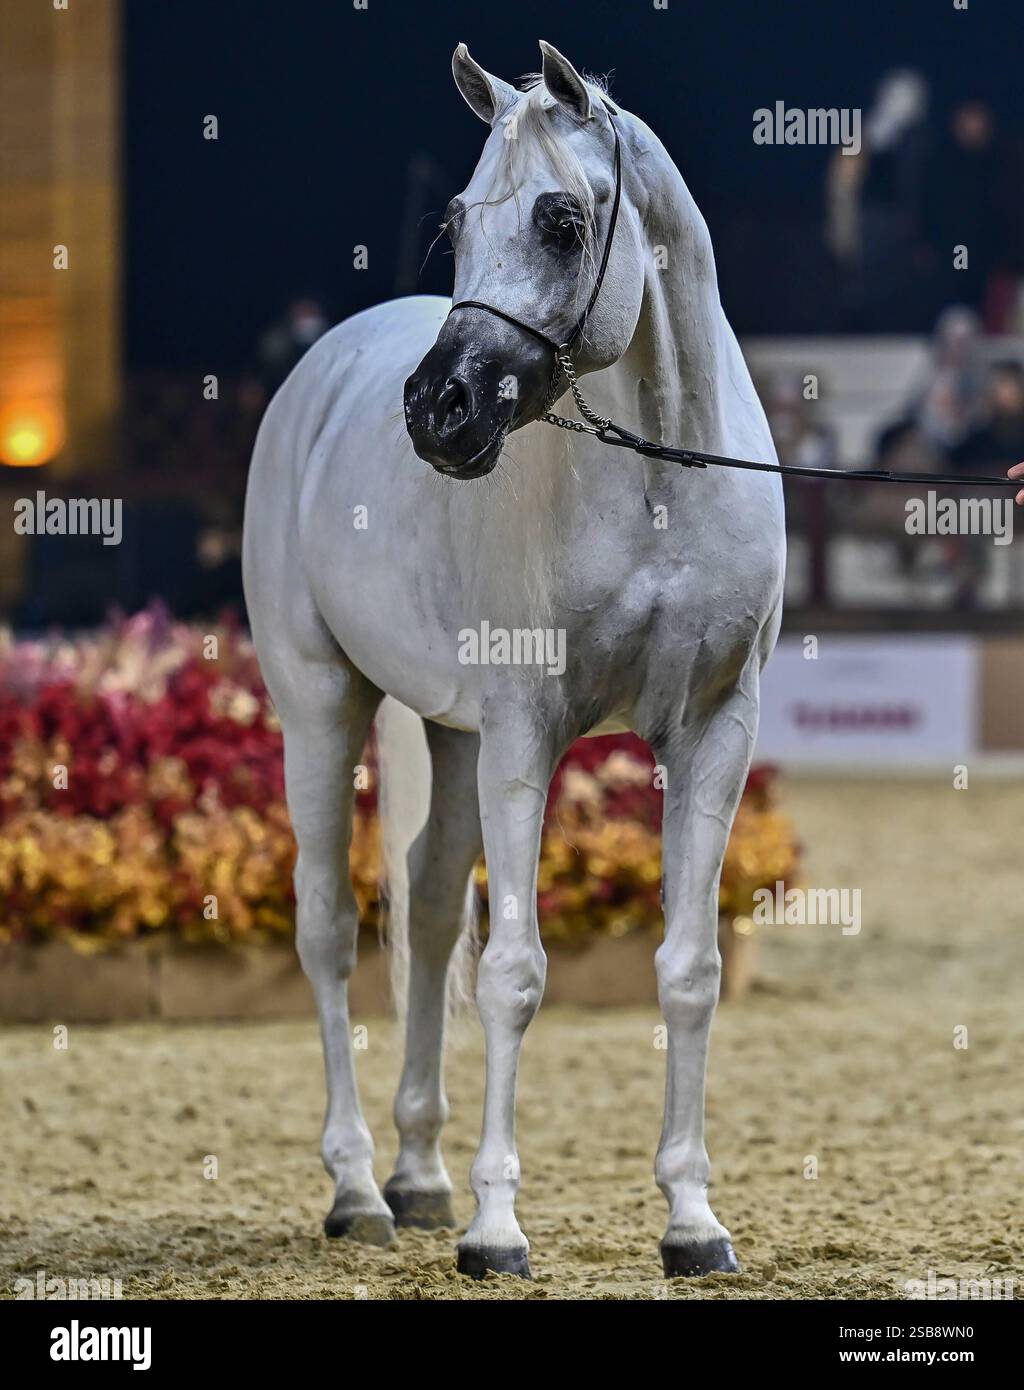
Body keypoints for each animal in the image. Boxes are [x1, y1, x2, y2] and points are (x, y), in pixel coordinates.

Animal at [242, 40, 785, 1280]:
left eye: (559, 219)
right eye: (455, 216)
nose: (437, 410)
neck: (660, 484)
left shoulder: (714, 730)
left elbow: (689, 970)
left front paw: (693, 1221)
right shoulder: (526, 738)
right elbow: (515, 973)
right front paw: (497, 1231)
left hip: (451, 738)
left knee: (430, 903)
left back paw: (418, 1175)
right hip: (321, 707)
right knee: (329, 927)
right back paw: (359, 1189)